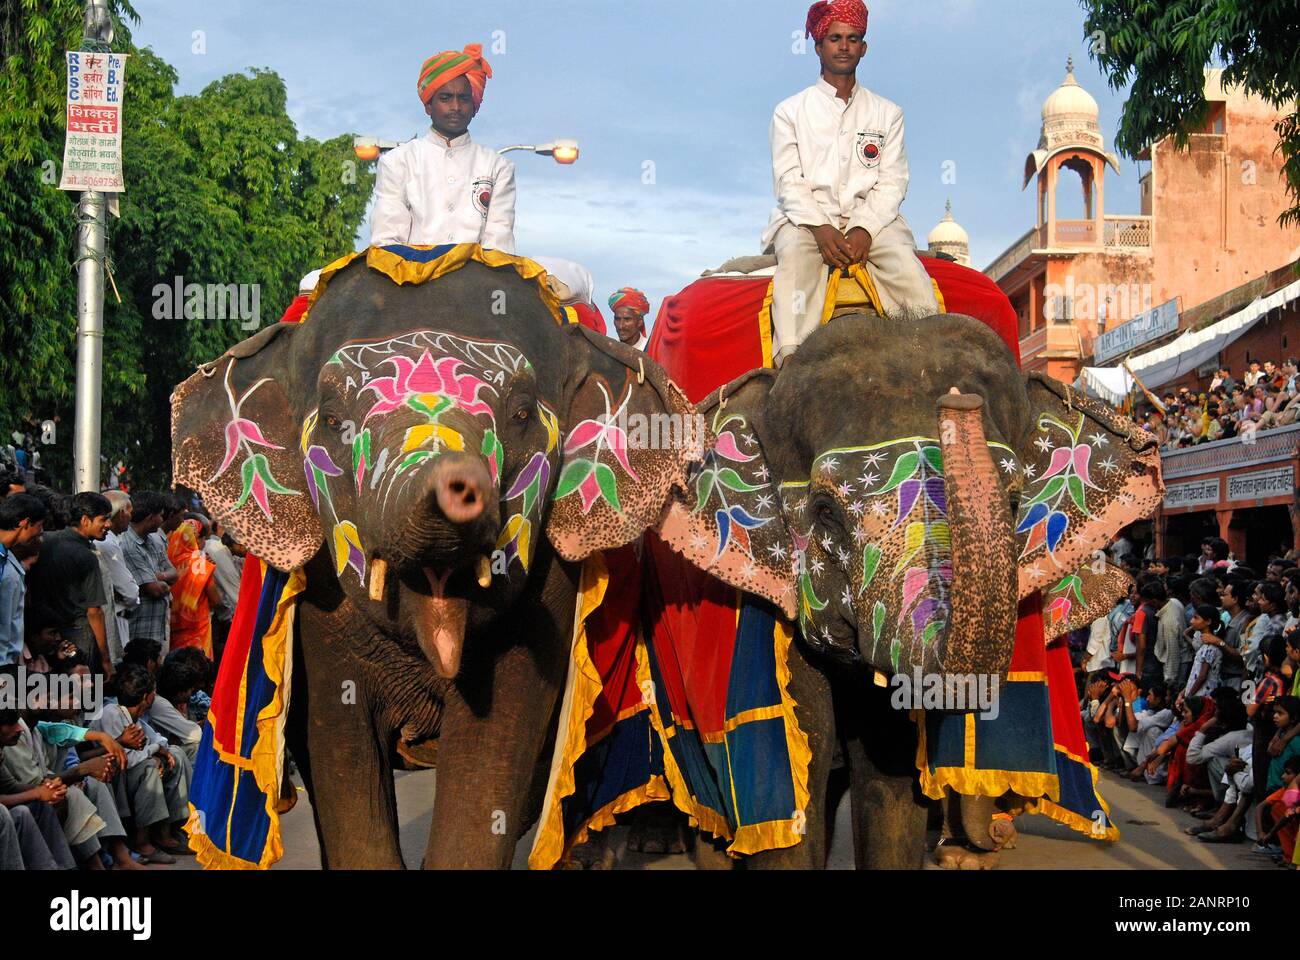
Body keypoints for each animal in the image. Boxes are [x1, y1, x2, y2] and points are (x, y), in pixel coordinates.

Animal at [170, 249, 707, 868]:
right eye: (331, 419)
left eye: (522, 413)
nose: (457, 480)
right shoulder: (313, 600)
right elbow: (338, 748)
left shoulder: (547, 583)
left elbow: (494, 746)